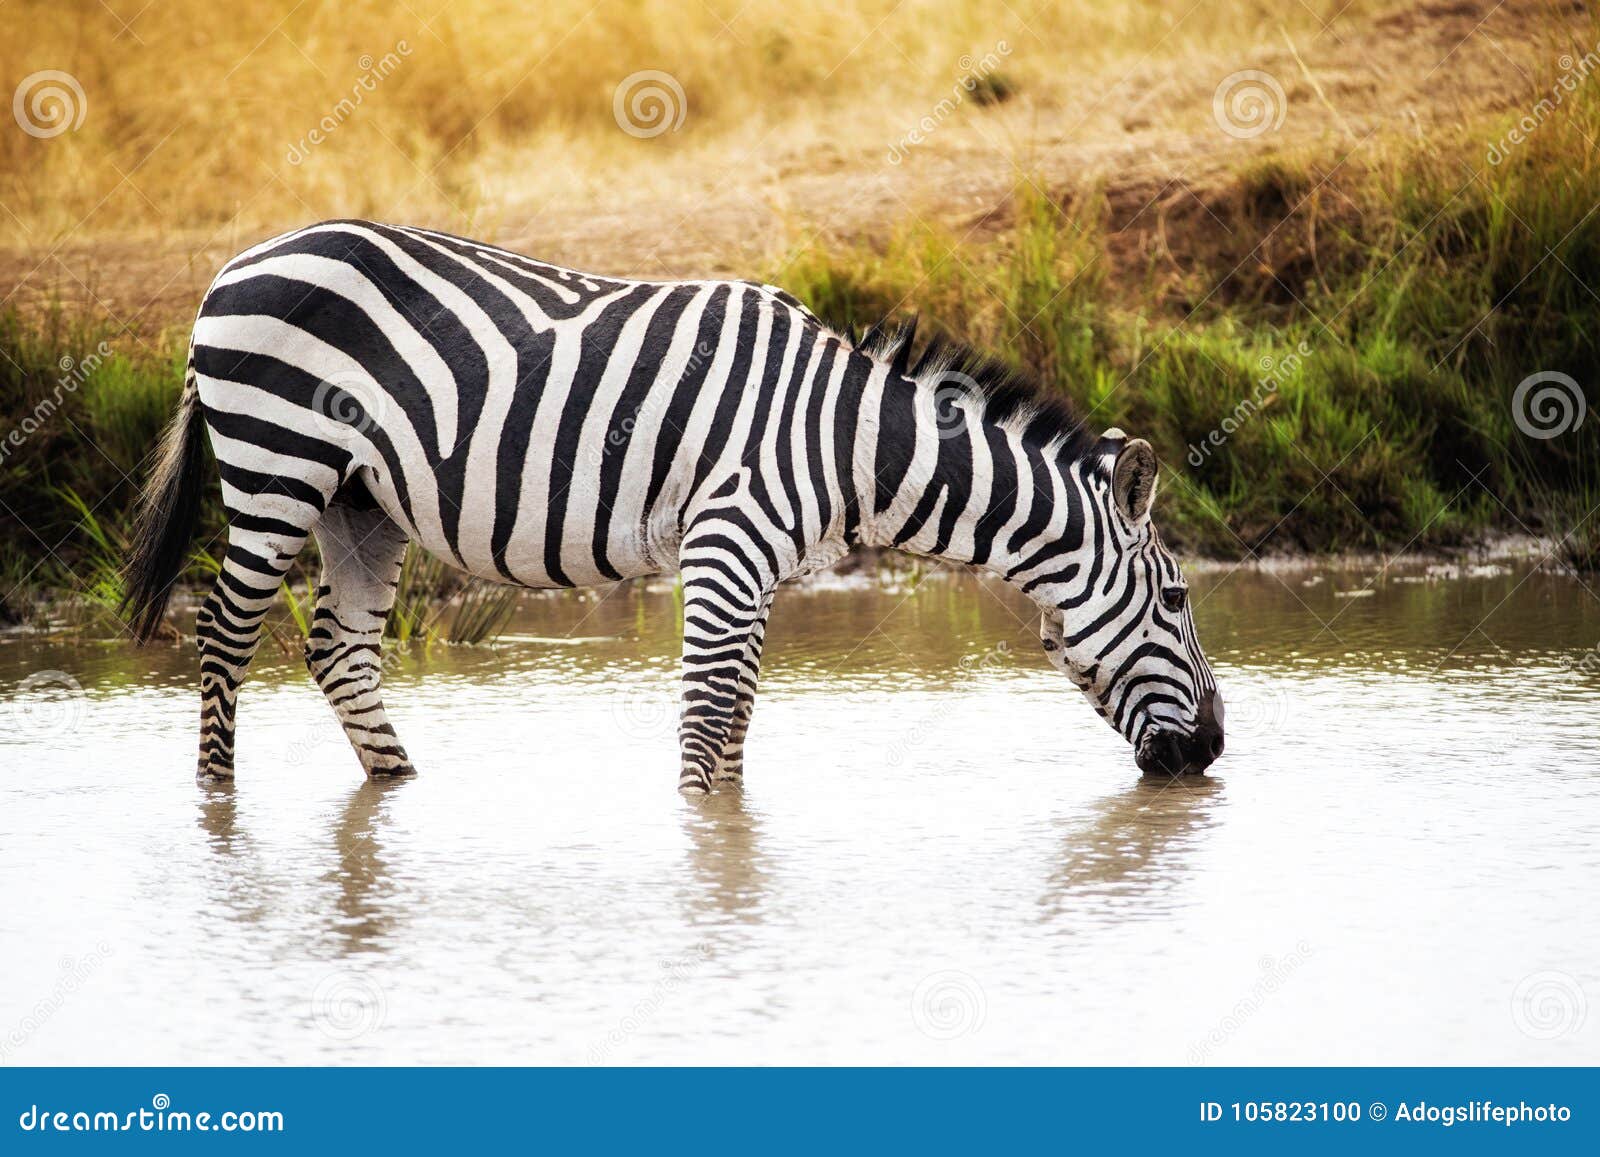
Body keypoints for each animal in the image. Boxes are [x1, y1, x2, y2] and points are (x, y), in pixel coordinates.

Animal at [122, 220, 1224, 792]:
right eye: (1176, 599)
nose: (1212, 749)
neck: (851, 441)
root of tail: (239, 261)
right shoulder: (726, 546)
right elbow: (705, 715)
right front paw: (701, 835)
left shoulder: (764, 567)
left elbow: (736, 715)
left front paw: (727, 829)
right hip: (276, 461)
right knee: (224, 633)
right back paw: (216, 800)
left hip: (361, 500)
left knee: (339, 649)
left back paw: (397, 784)